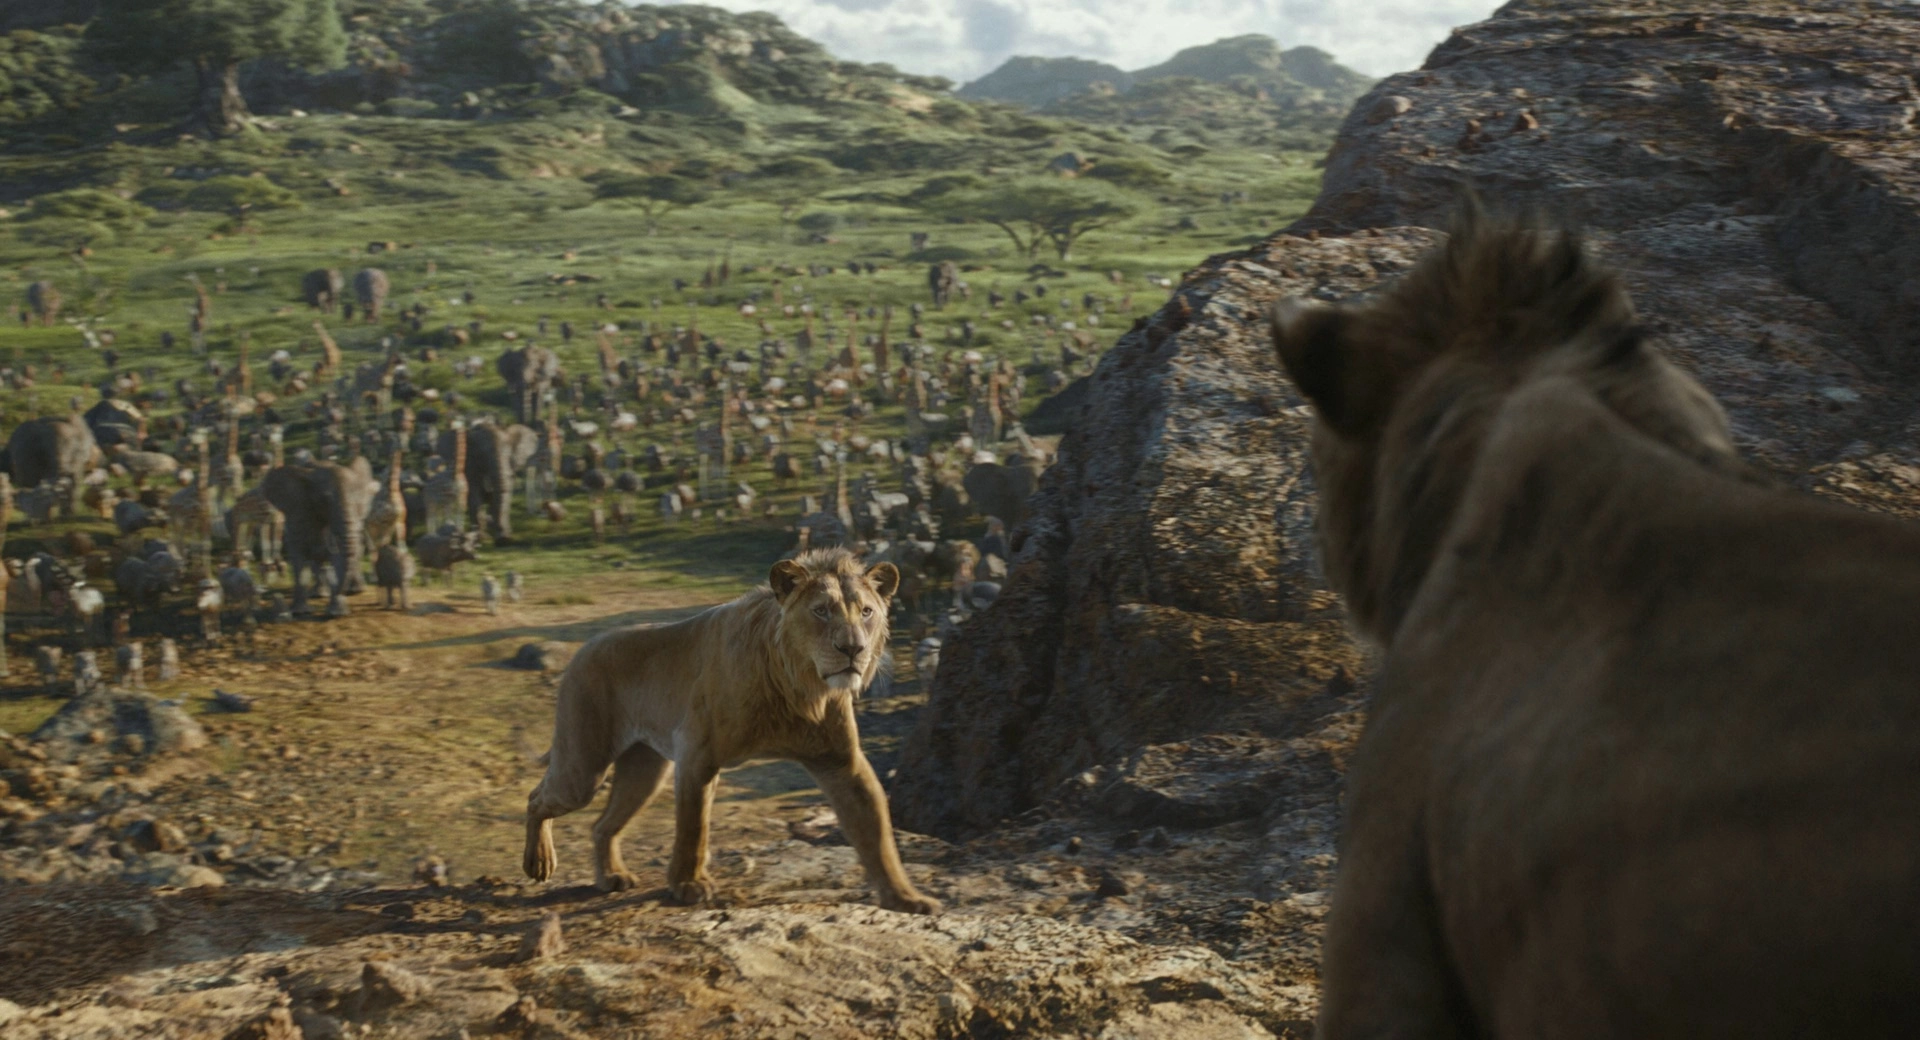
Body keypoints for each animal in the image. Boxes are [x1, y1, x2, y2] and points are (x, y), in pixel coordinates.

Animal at [521, 547, 940, 915]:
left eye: (866, 612)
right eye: (821, 611)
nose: (853, 649)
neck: (800, 688)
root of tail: (585, 647)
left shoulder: (842, 764)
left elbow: (876, 833)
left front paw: (906, 898)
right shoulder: (696, 753)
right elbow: (693, 825)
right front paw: (688, 884)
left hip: (644, 771)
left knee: (601, 825)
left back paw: (611, 876)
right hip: (583, 767)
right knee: (537, 797)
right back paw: (538, 862)